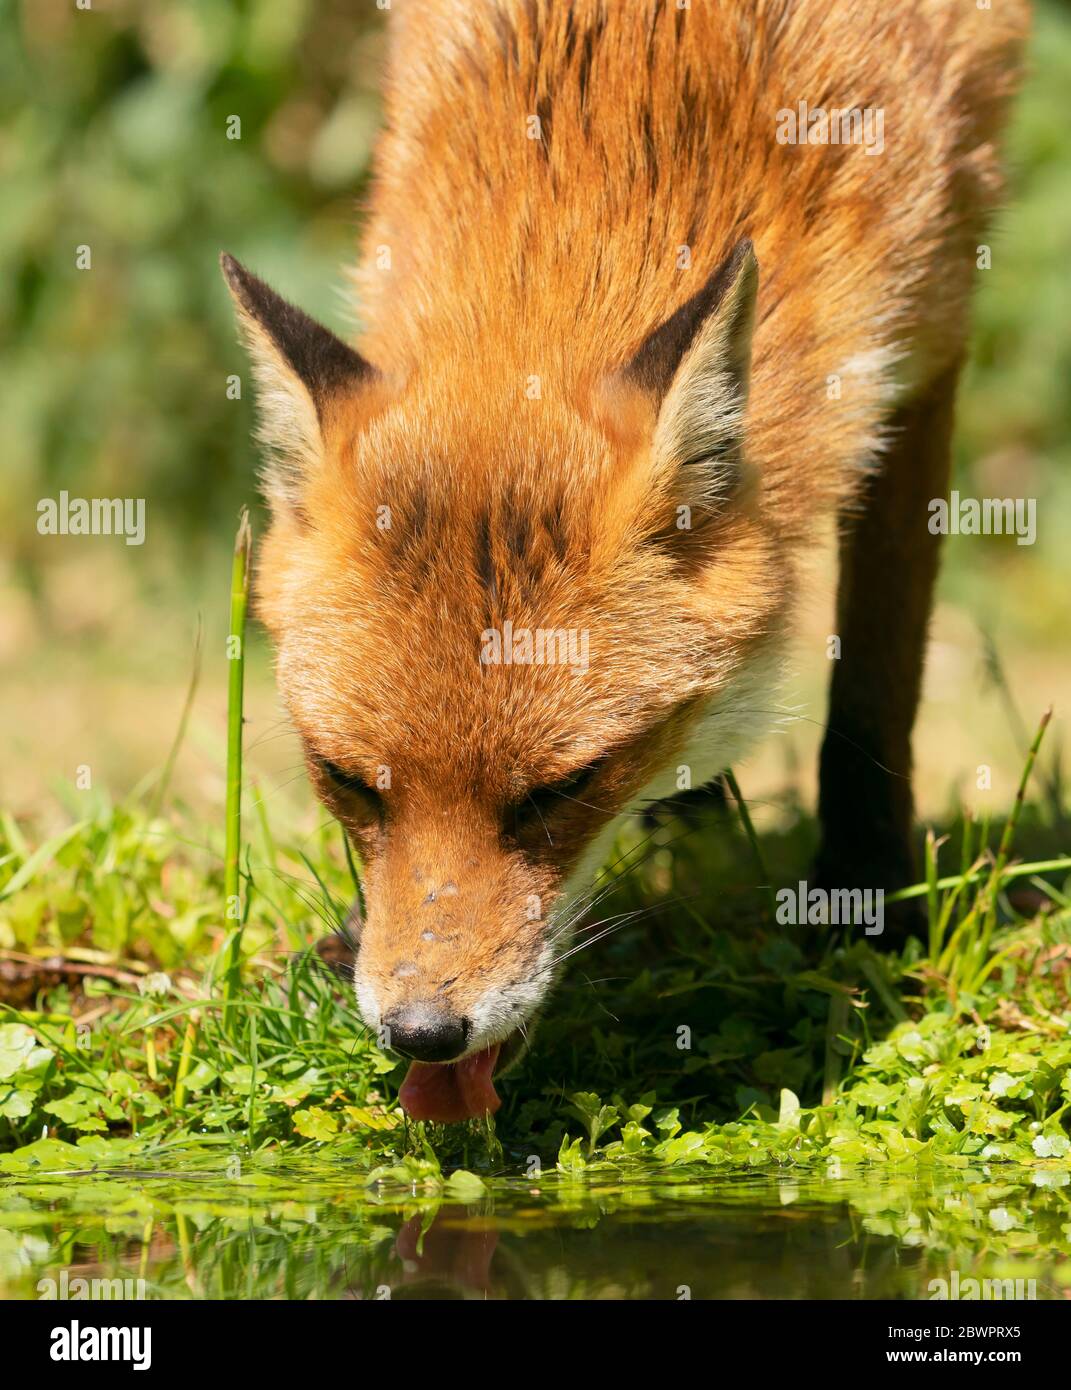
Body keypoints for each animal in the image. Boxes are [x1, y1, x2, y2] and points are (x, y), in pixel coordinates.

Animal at [222, 0, 1029, 1123]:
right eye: (347, 781)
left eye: (563, 788)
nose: (421, 1031)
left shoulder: (929, 321)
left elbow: (876, 683)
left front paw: (863, 897)